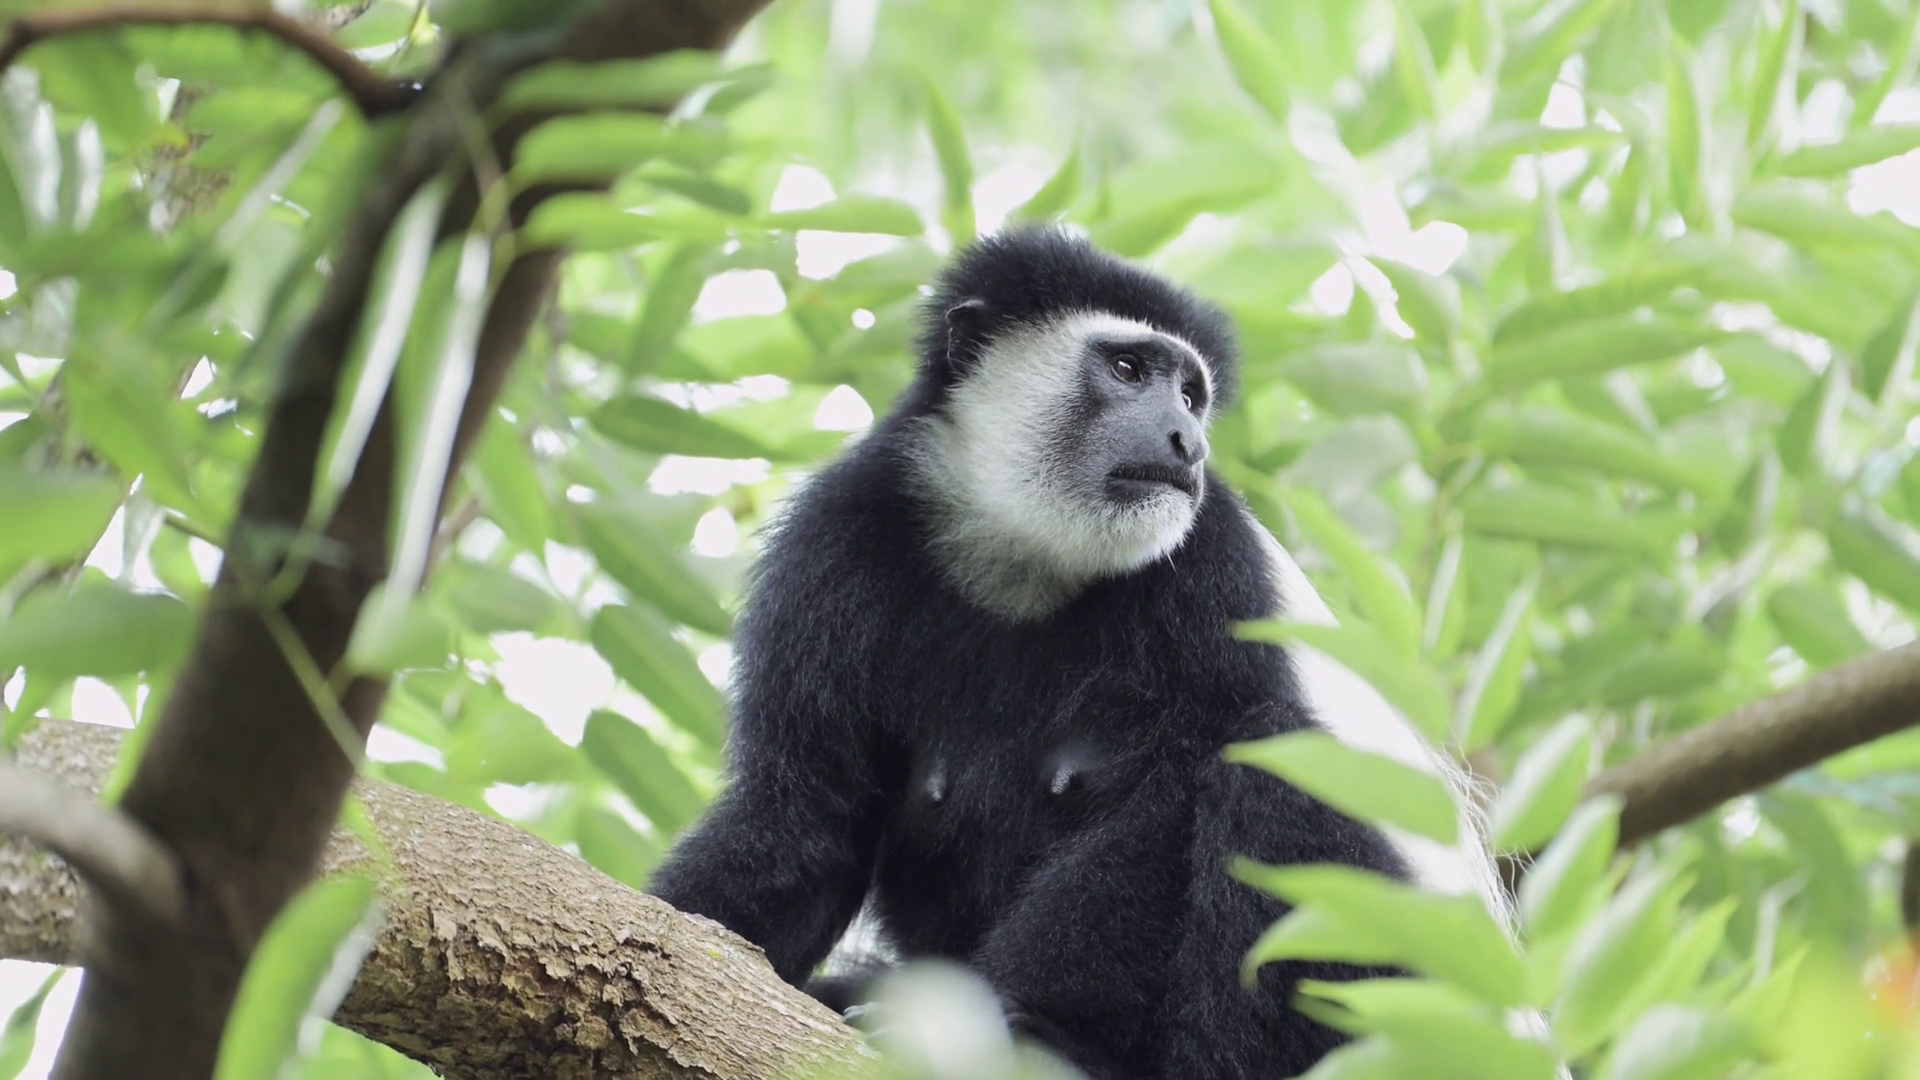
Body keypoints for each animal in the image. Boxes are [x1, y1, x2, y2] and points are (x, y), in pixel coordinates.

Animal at [649, 225, 1503, 1078]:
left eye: (1190, 393)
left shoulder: (1210, 569)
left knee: (1274, 760)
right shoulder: (832, 549)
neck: (1026, 562)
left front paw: (1022, 1027)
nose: (1187, 442)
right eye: (1128, 370)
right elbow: (806, 815)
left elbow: (1157, 809)